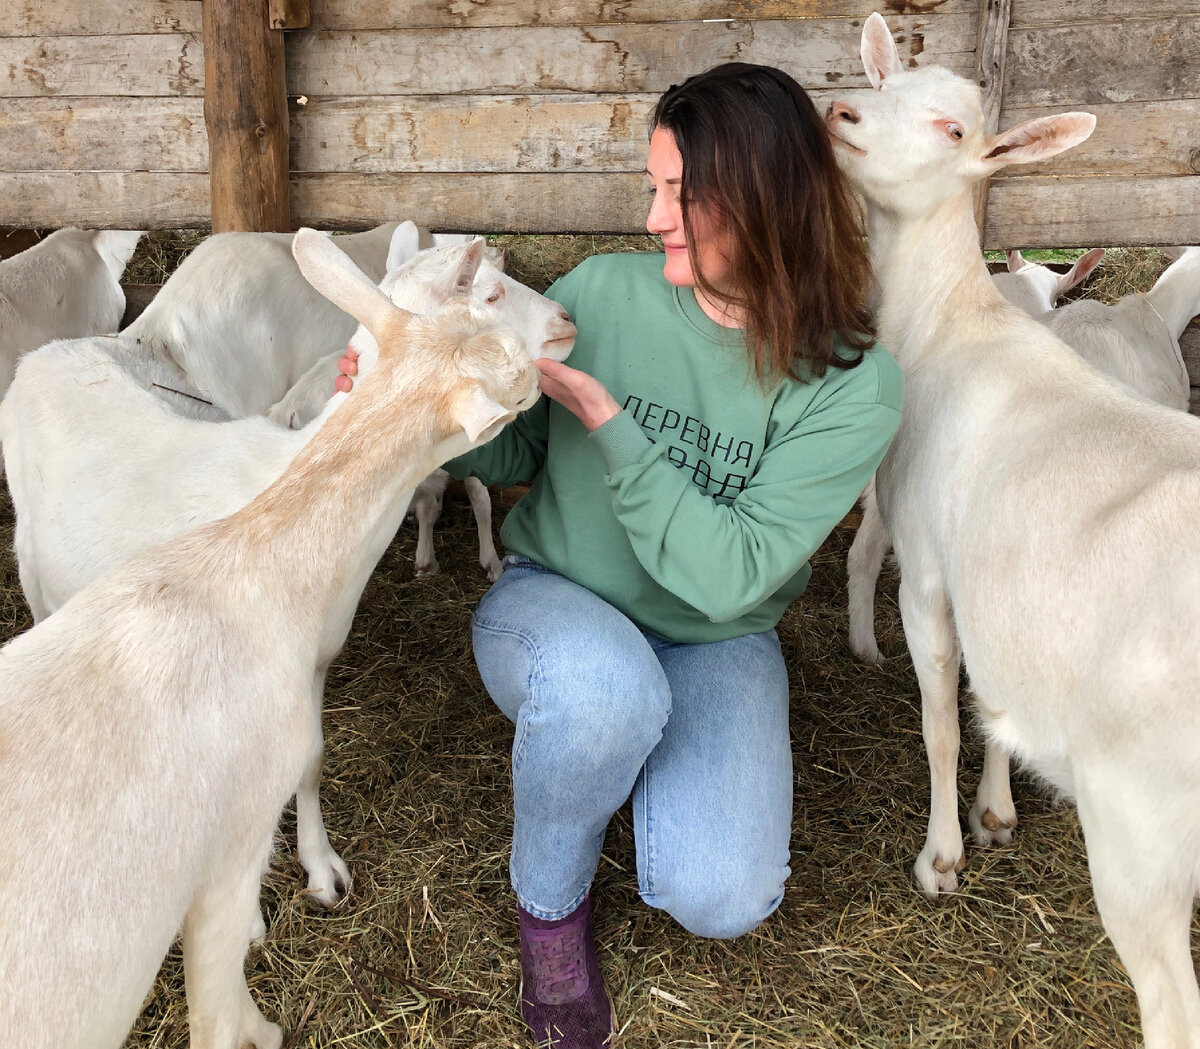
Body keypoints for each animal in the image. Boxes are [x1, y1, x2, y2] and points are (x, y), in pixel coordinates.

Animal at [825, 16, 1200, 1046]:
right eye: (886, 82)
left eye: (955, 129)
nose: (840, 113)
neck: (948, 327)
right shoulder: (994, 588)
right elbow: (993, 705)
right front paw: (995, 813)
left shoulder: (926, 572)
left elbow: (940, 720)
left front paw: (944, 856)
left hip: (1143, 829)